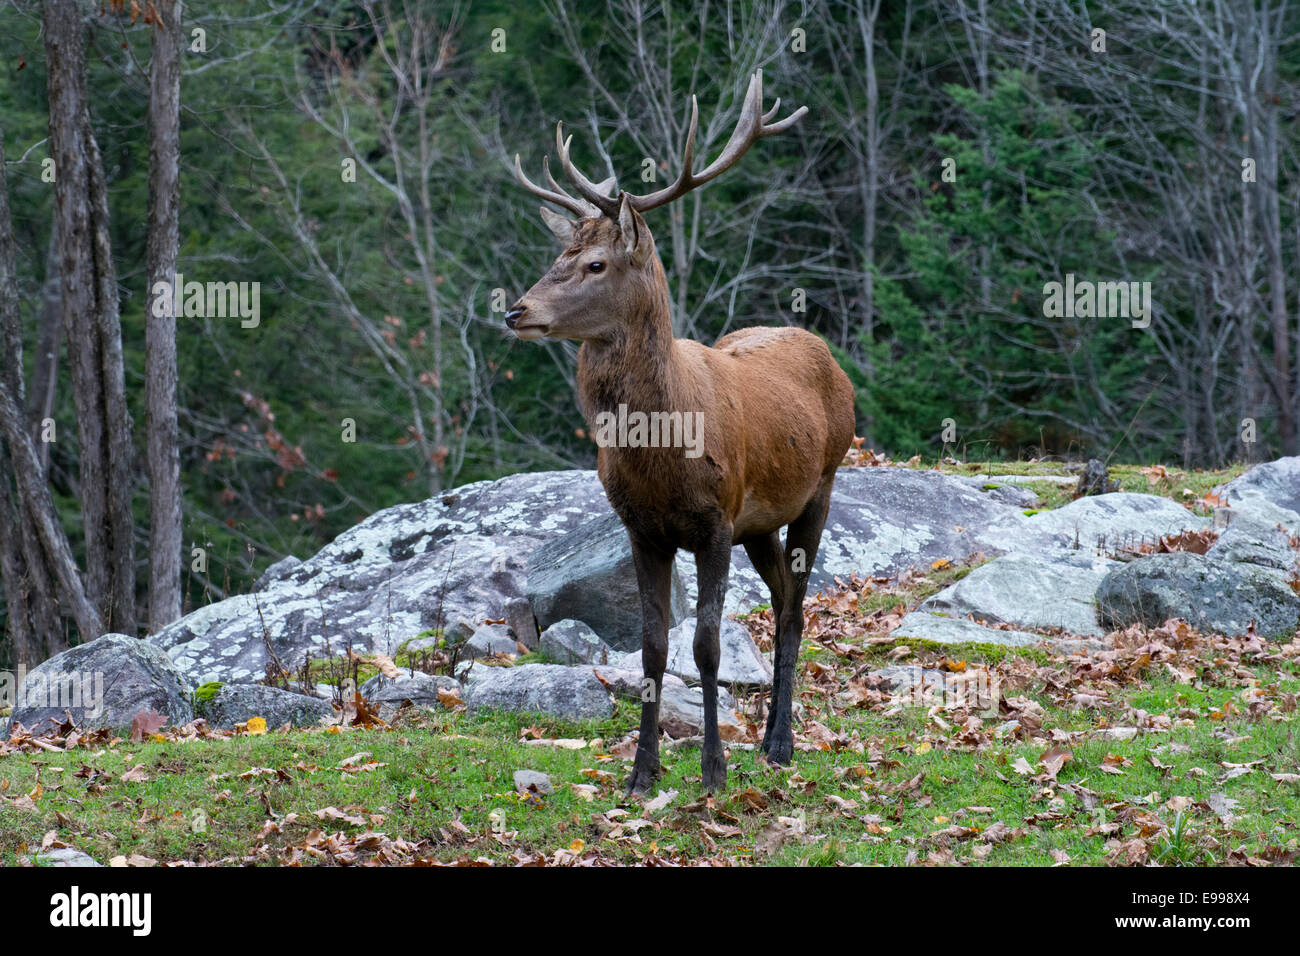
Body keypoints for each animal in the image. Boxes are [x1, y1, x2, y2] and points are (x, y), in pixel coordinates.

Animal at [505, 71, 856, 794]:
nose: (514, 311)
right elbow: (653, 648)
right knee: (782, 596)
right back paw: (769, 737)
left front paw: (713, 769)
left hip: (823, 482)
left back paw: (780, 742)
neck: (660, 451)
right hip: (761, 522)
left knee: (795, 608)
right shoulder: (643, 529)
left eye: (596, 265)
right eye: (560, 254)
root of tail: (828, 357)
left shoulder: (716, 521)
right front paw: (642, 772)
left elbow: (707, 646)